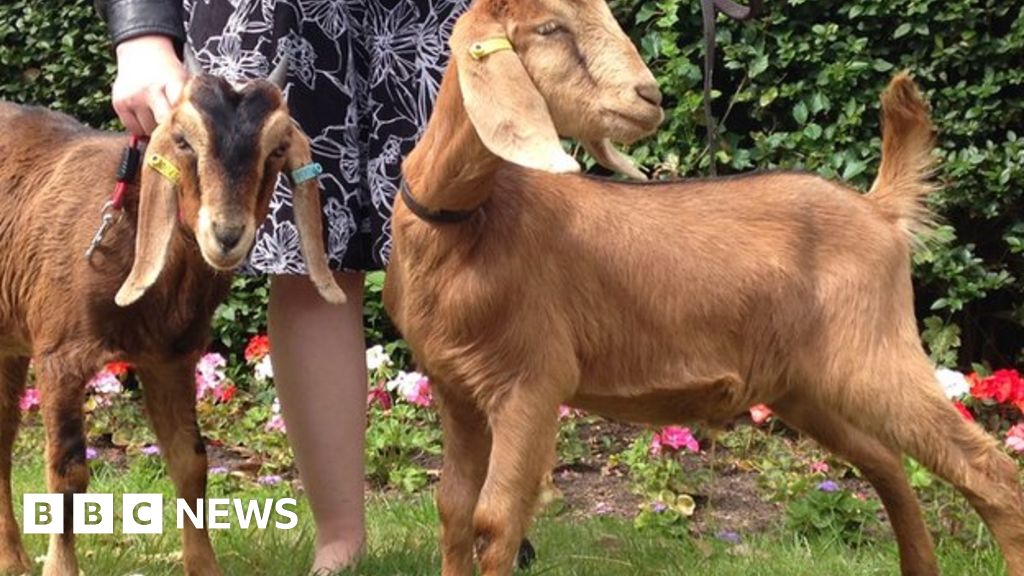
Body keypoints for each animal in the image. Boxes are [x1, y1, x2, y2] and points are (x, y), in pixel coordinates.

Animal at [0, 56, 344, 576]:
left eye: (278, 149)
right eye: (183, 141)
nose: (226, 235)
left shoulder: (171, 357)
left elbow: (190, 461)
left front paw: (203, 566)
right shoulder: (59, 355)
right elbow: (68, 470)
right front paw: (60, 569)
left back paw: (13, 558)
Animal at [382, 0, 1024, 574]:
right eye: (549, 27)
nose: (649, 97)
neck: (465, 222)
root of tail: (878, 211)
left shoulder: (532, 382)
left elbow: (495, 523)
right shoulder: (456, 388)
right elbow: (454, 509)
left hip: (873, 353)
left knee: (990, 475)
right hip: (807, 386)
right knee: (889, 465)